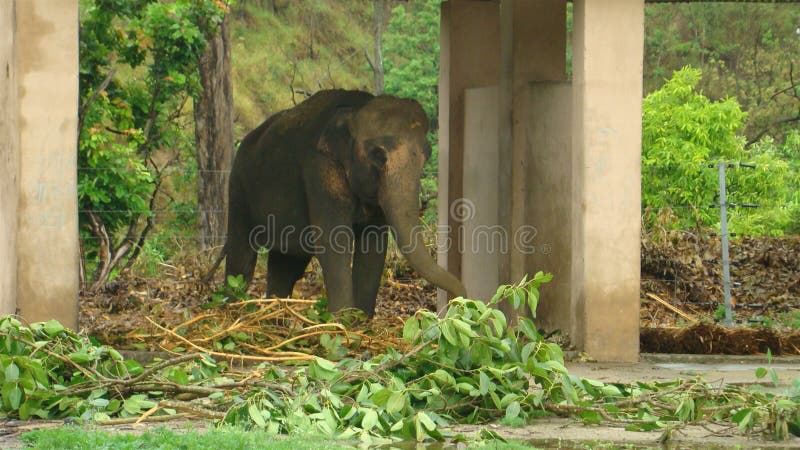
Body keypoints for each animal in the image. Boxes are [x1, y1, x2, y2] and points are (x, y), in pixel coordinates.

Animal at [211, 89, 467, 316]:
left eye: (427, 154)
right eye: (378, 155)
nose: (461, 300)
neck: (356, 109)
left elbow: (374, 243)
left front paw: (361, 320)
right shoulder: (320, 170)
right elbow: (333, 240)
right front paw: (341, 322)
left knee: (287, 262)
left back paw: (275, 315)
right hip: (238, 189)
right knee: (242, 253)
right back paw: (234, 309)